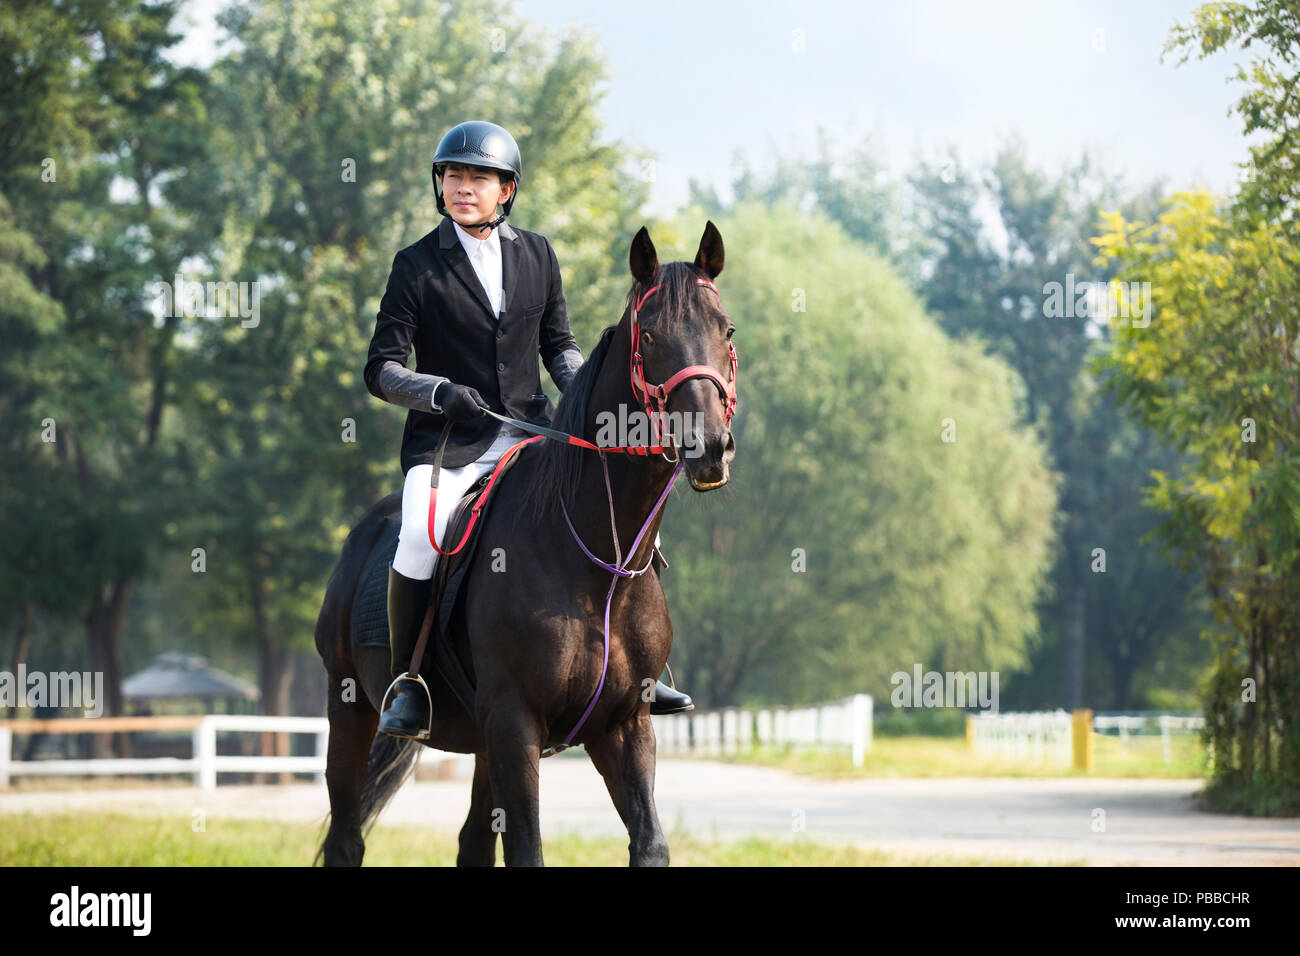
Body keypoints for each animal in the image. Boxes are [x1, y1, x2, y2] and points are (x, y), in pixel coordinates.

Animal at [313, 221, 737, 866]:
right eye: (650, 336)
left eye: (726, 331)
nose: (708, 446)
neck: (596, 567)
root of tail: (360, 536)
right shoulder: (516, 725)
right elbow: (529, 848)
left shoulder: (623, 727)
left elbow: (650, 843)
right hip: (353, 710)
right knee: (345, 838)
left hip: (482, 738)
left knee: (470, 843)